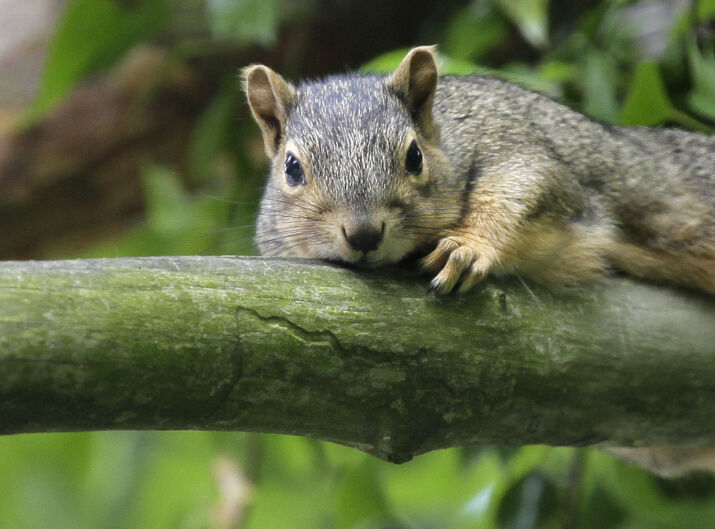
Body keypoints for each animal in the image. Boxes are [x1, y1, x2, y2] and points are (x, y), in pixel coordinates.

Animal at [243, 46, 715, 476]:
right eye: (291, 168)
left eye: (415, 156)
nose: (363, 234)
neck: (449, 132)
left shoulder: (532, 159)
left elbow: (522, 190)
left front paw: (466, 249)